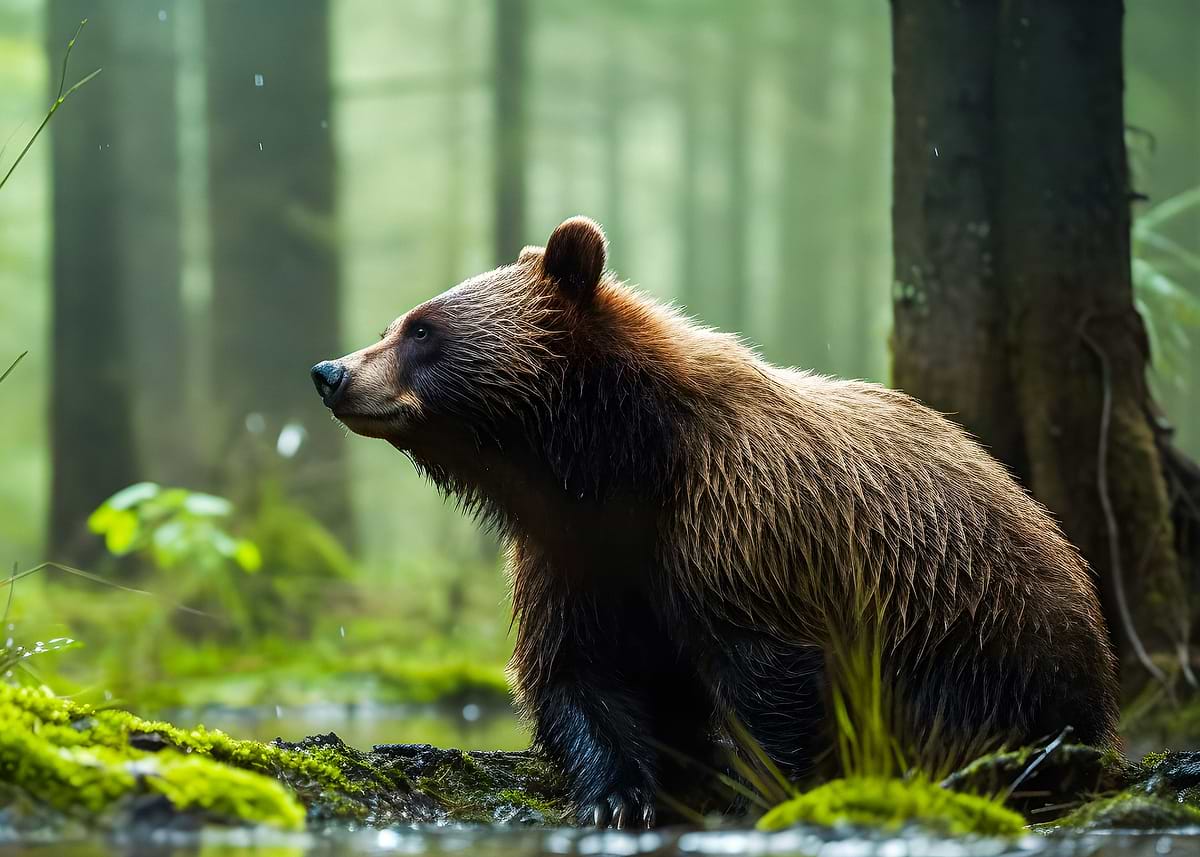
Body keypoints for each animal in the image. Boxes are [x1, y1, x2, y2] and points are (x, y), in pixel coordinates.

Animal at [311, 216, 1119, 828]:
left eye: (422, 329)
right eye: (394, 324)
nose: (331, 371)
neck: (611, 463)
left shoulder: (744, 529)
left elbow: (769, 677)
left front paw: (756, 790)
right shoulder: (576, 555)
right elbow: (579, 671)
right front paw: (617, 796)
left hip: (980, 627)